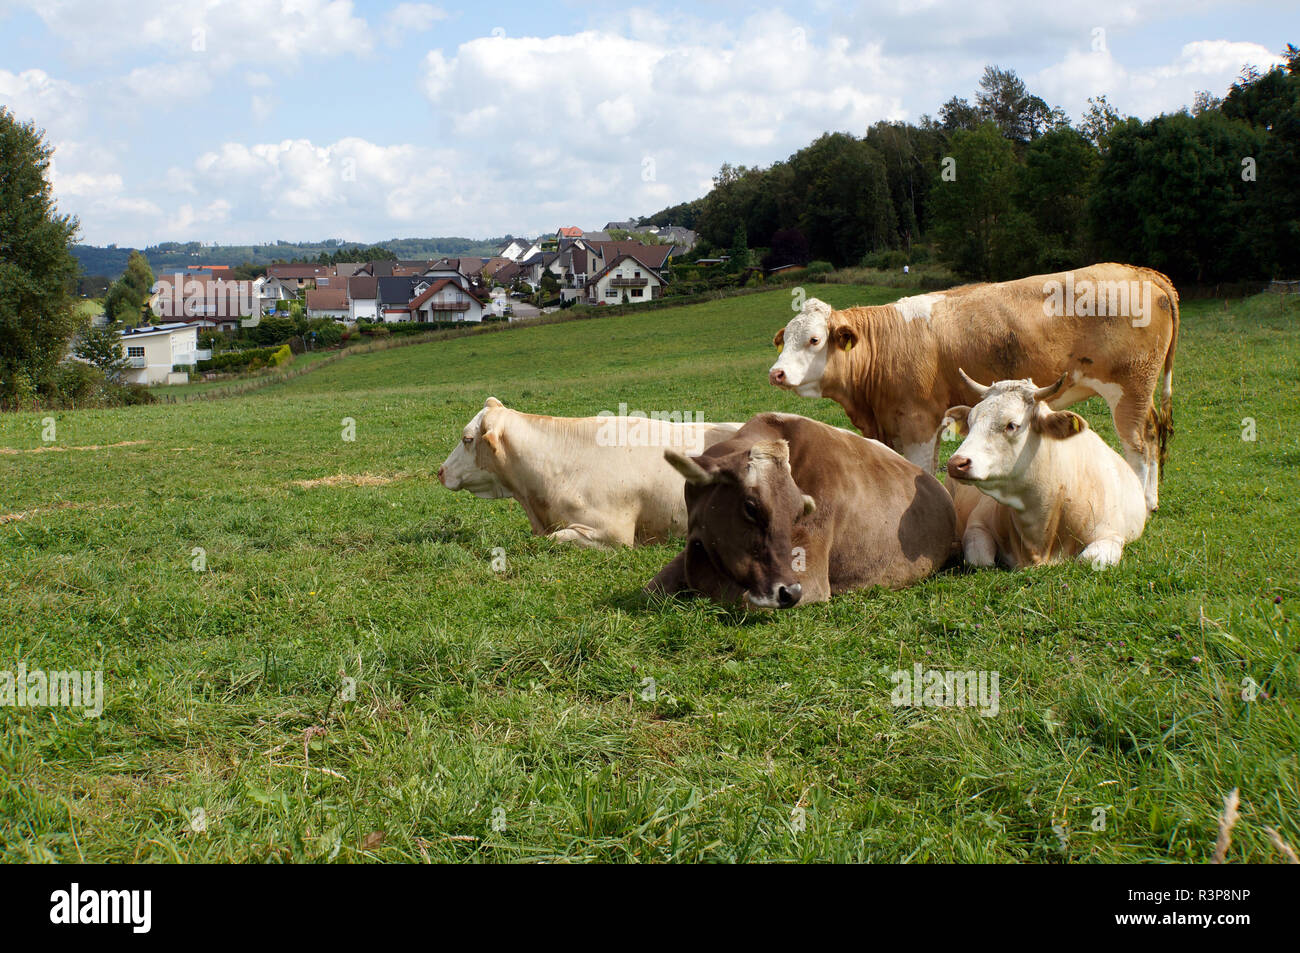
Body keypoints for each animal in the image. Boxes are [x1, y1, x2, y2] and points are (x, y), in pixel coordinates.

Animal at [767, 263, 1179, 511]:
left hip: (1129, 390)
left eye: (814, 340)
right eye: (784, 339)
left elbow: (920, 469)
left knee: (1137, 447)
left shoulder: (918, 421)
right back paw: (1153, 499)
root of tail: (1142, 272)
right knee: (1153, 435)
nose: (776, 373)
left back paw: (1141, 503)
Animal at [942, 371, 1148, 569]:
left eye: (1011, 425)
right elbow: (981, 560)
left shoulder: (1110, 535)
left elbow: (1087, 560)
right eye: (970, 423)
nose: (956, 463)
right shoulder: (977, 525)